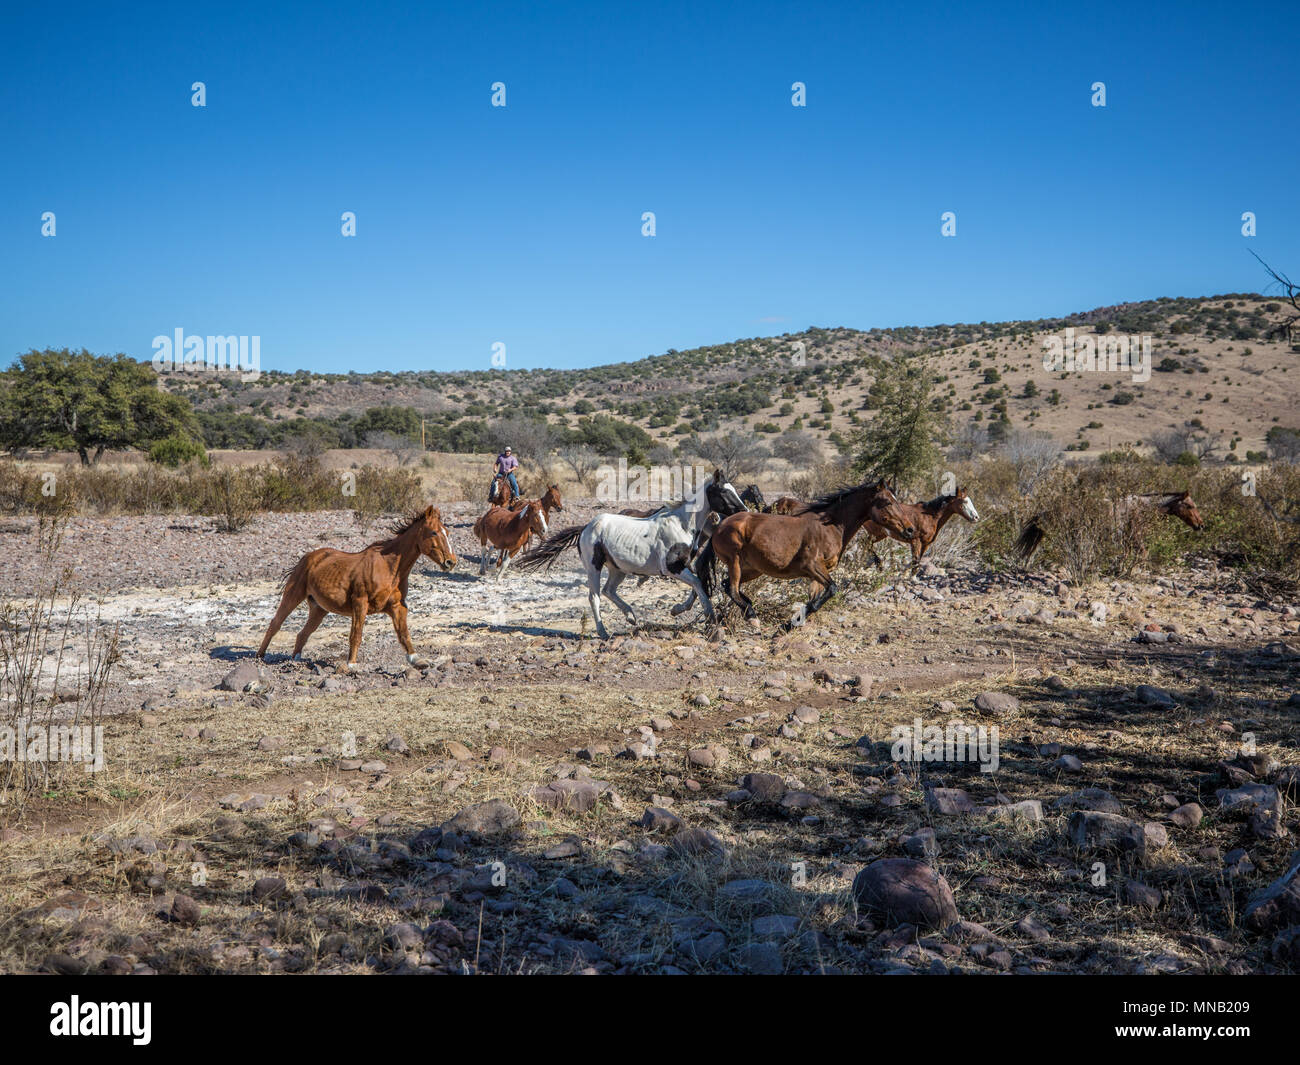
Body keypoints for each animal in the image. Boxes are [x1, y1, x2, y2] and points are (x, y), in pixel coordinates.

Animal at [257, 505, 458, 671]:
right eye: (434, 532)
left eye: (447, 532)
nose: (451, 562)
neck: (389, 567)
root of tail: (307, 558)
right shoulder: (360, 603)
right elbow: (356, 634)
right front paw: (352, 665)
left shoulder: (397, 606)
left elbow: (404, 634)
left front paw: (417, 660)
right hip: (293, 595)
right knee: (275, 624)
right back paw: (260, 657)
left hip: (319, 609)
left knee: (302, 634)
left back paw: (295, 661)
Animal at [516, 469, 747, 638]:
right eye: (724, 492)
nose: (743, 511)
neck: (681, 524)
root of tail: (585, 527)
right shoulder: (672, 568)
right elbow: (699, 584)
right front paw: (710, 616)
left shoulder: (685, 565)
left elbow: (698, 586)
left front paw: (677, 609)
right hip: (594, 567)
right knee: (595, 596)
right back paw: (603, 632)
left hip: (619, 569)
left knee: (609, 590)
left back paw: (631, 617)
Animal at [680, 481, 916, 629]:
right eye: (887, 502)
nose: (910, 529)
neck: (830, 526)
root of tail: (720, 525)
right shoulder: (812, 567)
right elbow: (832, 589)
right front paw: (788, 624)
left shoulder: (819, 573)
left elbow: (817, 598)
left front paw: (793, 624)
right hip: (736, 562)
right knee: (731, 588)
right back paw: (752, 617)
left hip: (753, 569)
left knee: (728, 586)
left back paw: (750, 608)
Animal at [1014, 490, 1204, 563]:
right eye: (1190, 506)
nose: (1200, 525)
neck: (1141, 508)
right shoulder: (1135, 538)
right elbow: (1143, 554)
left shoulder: (1127, 540)